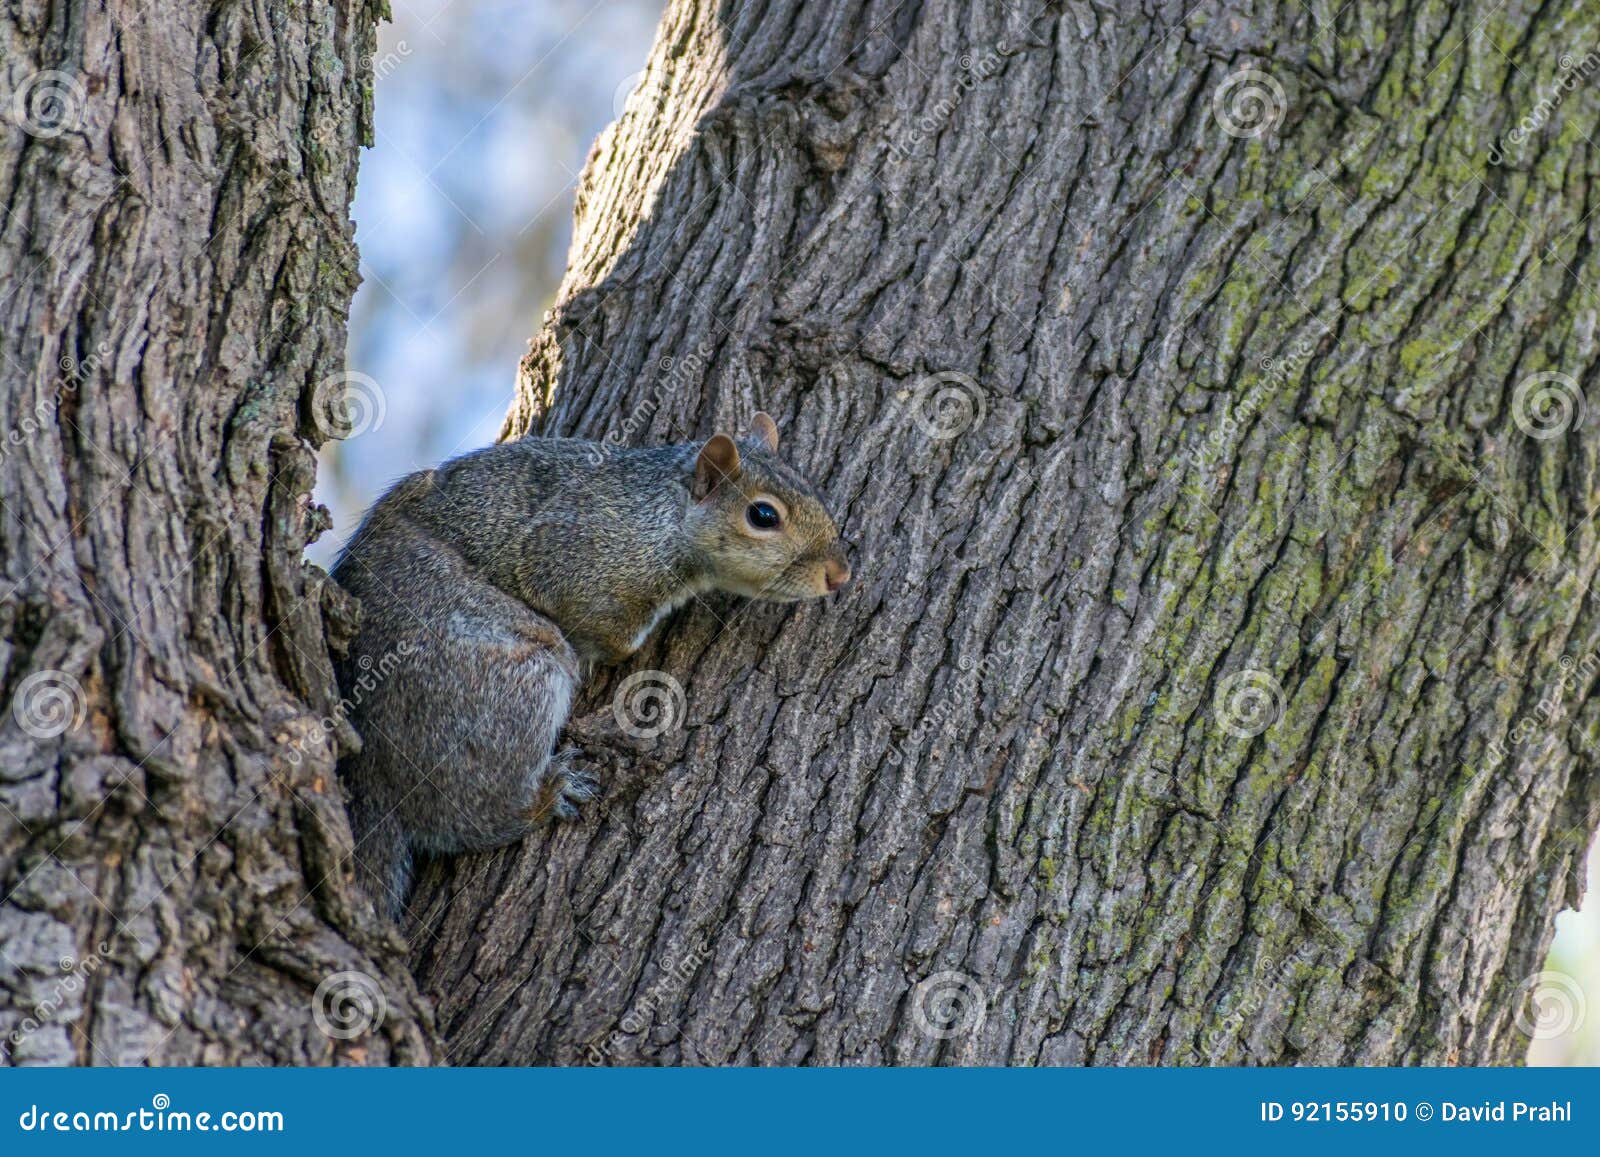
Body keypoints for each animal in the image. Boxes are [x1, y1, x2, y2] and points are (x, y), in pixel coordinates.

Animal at [329, 413, 851, 917]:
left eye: (818, 494)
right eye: (763, 515)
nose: (840, 574)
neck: (659, 517)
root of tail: (373, 773)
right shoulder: (577, 564)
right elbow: (609, 634)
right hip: (506, 673)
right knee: (471, 815)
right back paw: (544, 797)